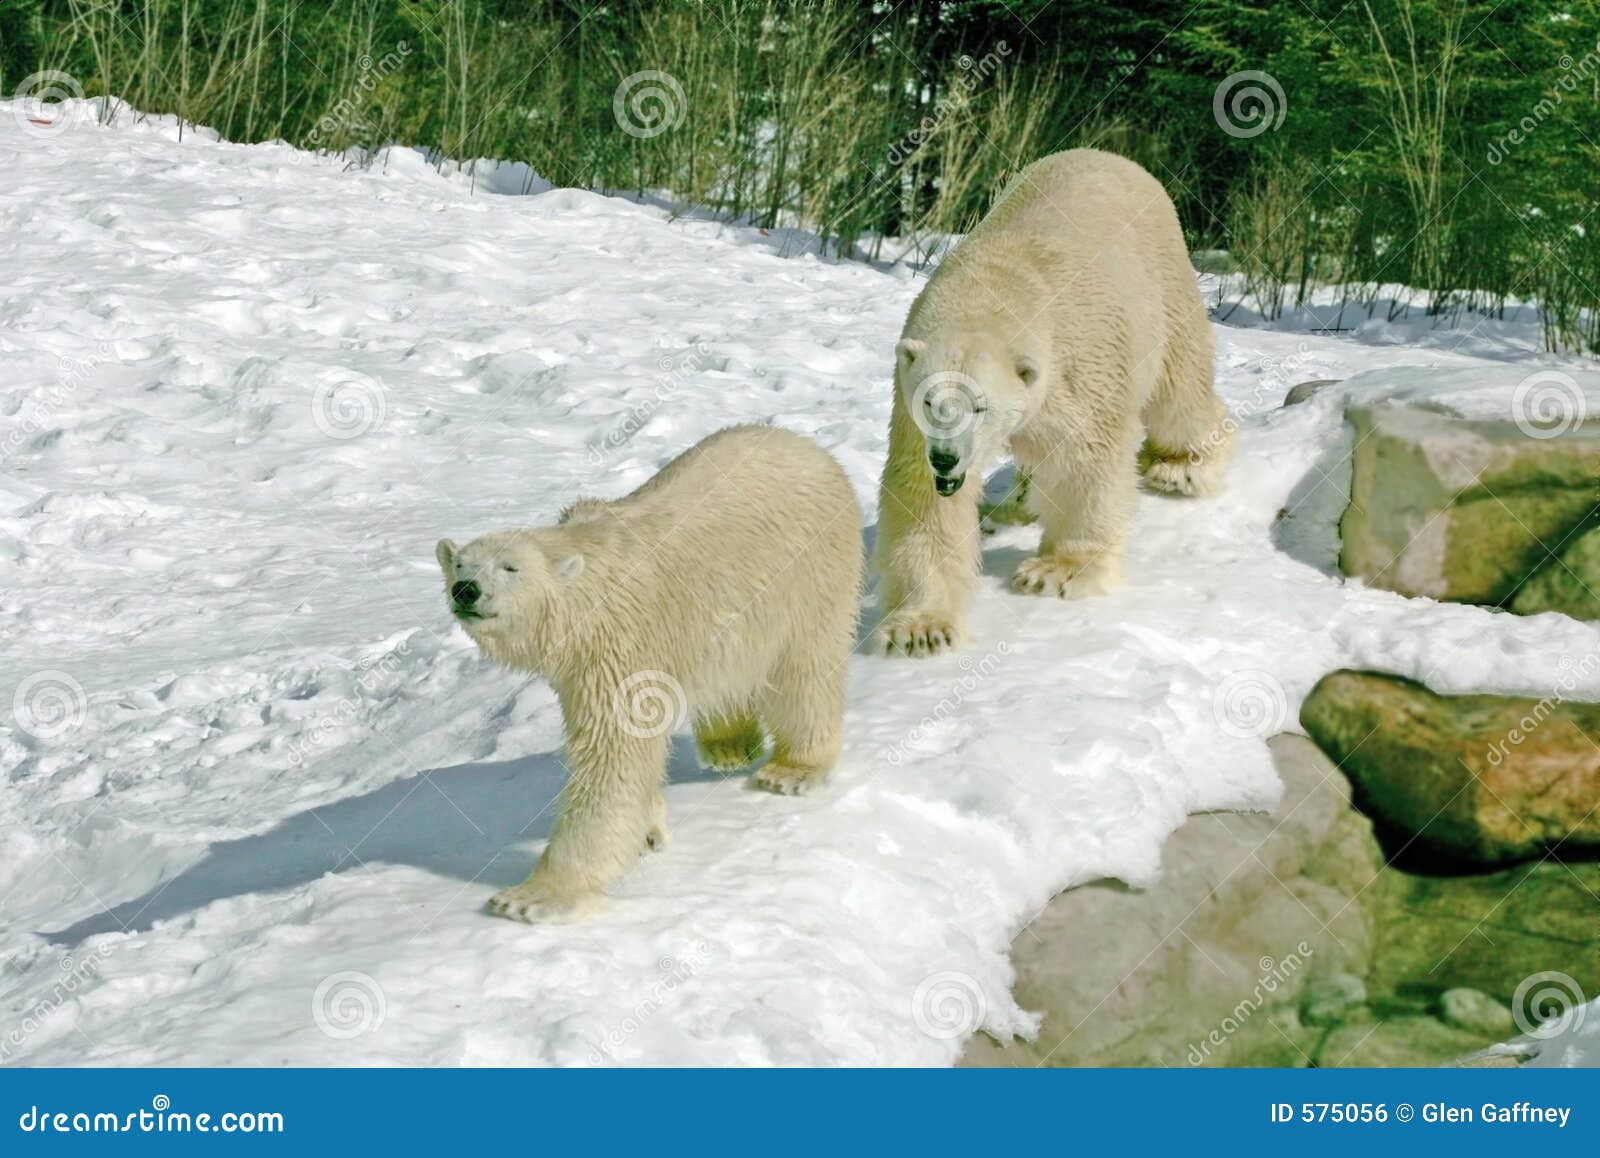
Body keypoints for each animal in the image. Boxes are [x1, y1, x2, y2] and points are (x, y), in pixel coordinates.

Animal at [436, 424, 862, 923]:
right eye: (459, 564)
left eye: (510, 567)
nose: (466, 589)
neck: (590, 581)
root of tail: (811, 448)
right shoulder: (583, 663)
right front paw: (649, 828)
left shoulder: (619, 644)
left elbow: (612, 755)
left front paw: (533, 897)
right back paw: (728, 744)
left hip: (809, 570)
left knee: (804, 668)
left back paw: (792, 770)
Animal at [873, 148, 1232, 656]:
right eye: (930, 404)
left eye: (980, 407)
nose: (945, 459)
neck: (994, 288)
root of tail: (1112, 156)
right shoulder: (908, 409)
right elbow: (922, 495)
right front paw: (922, 628)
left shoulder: (1080, 365)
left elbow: (1086, 459)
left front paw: (1057, 572)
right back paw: (1012, 506)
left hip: (1165, 284)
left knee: (1178, 392)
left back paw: (1182, 466)